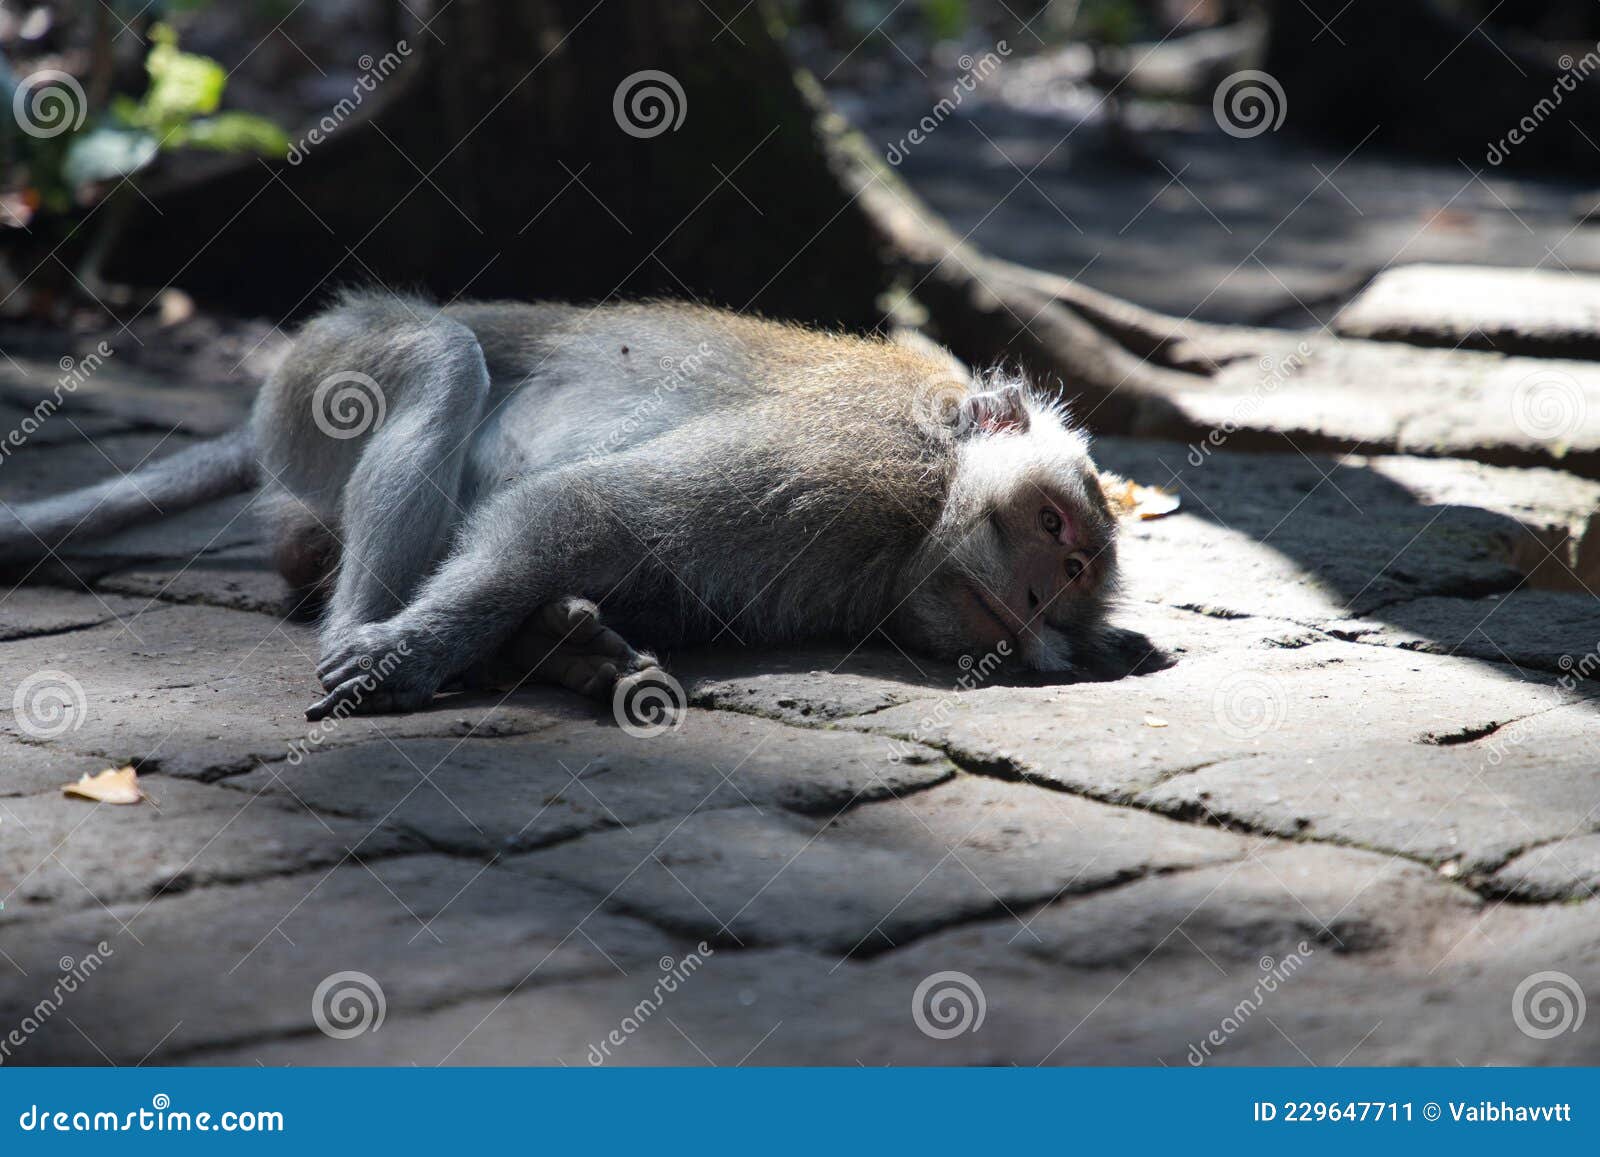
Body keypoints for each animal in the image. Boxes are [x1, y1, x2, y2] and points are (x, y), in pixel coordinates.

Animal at [0, 291, 1134, 721]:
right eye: (1055, 531)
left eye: (1076, 579)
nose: (1042, 594)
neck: (929, 506)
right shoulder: (854, 464)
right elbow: (591, 507)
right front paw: (407, 653)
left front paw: (558, 638)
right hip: (323, 370)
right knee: (442, 359)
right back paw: (379, 624)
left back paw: (558, 644)